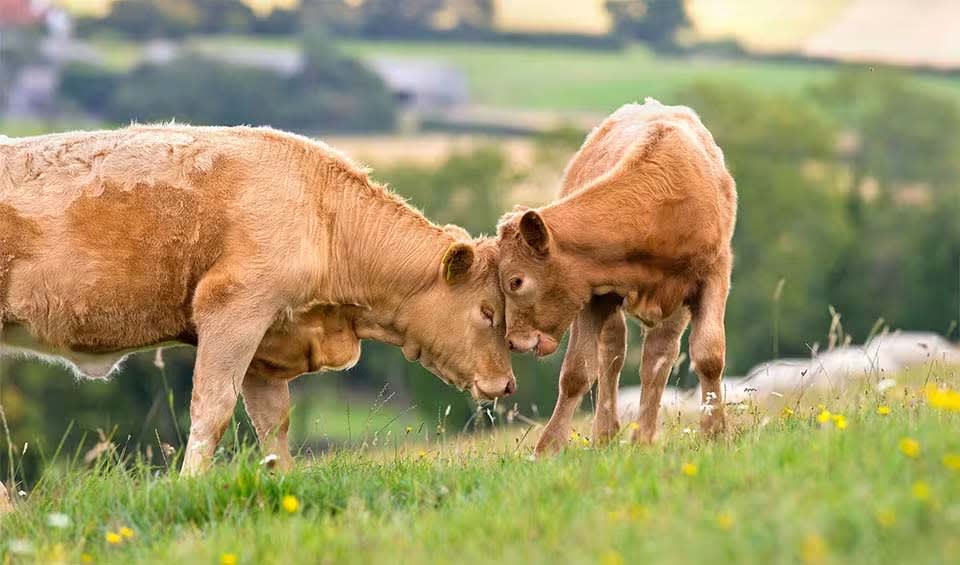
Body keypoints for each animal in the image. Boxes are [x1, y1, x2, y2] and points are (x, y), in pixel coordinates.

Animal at [0, 125, 516, 509]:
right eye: (487, 312)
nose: (507, 384)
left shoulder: (268, 341)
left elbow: (274, 424)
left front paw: (285, 486)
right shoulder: (234, 310)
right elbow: (212, 410)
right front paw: (189, 486)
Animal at [496, 99, 737, 454]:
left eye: (516, 281)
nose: (513, 341)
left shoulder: (714, 272)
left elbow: (708, 354)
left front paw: (715, 433)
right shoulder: (591, 294)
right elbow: (577, 372)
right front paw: (548, 448)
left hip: (674, 303)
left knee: (657, 356)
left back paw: (644, 438)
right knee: (613, 353)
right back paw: (607, 433)